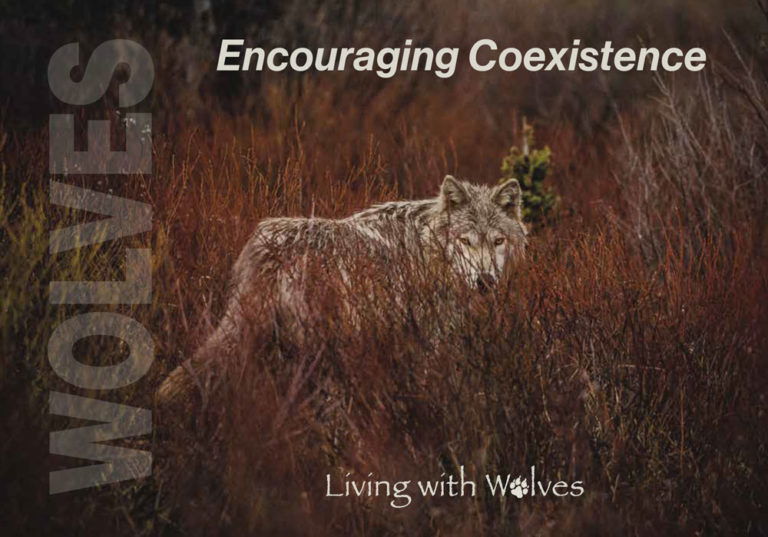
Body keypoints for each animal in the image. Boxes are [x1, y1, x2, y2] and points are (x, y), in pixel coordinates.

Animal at [156, 175, 528, 403]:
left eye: (497, 242)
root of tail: (269, 250)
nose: (485, 280)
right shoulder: (428, 339)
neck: (428, 248)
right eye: (466, 241)